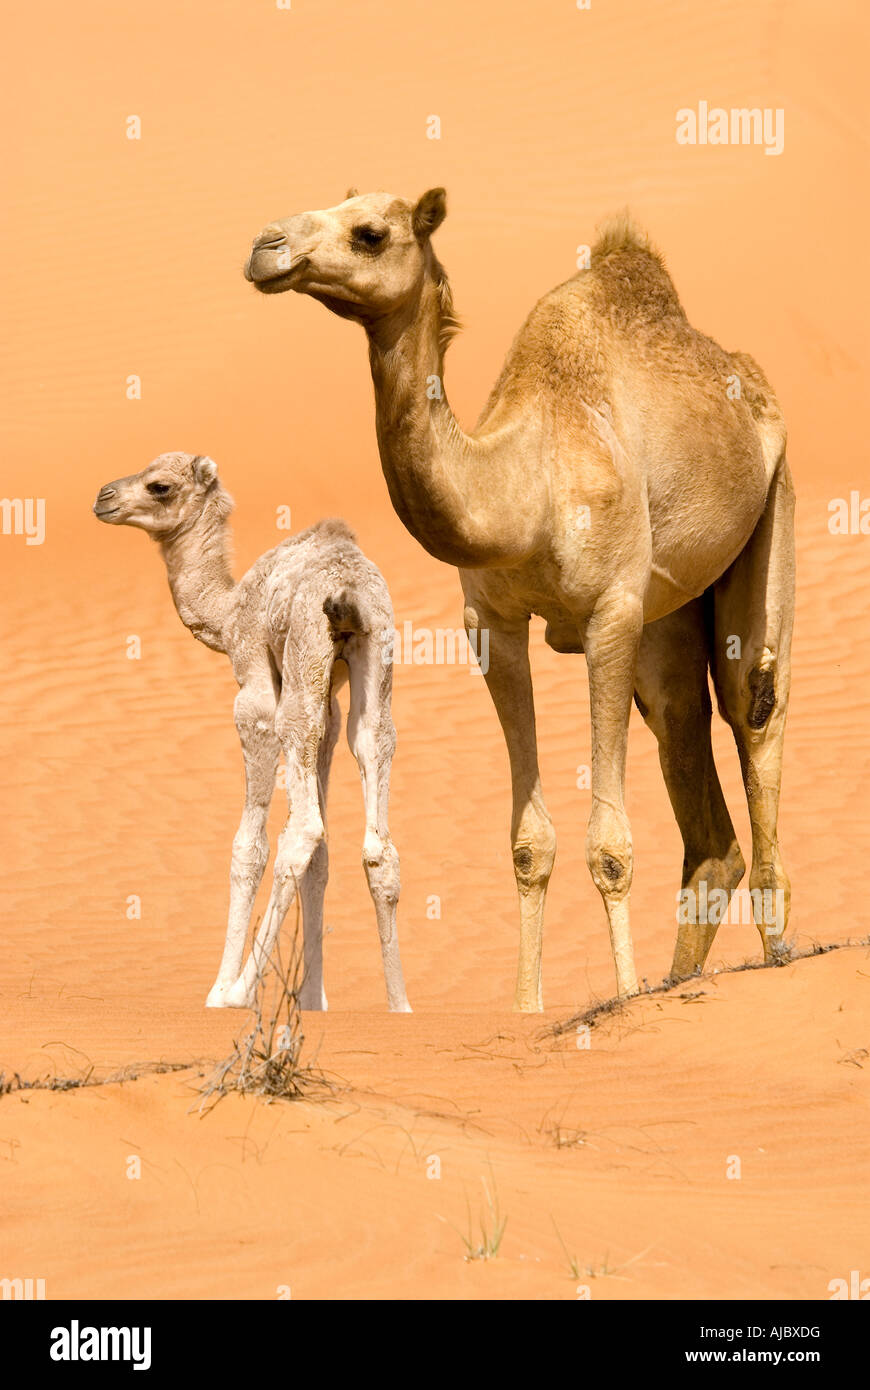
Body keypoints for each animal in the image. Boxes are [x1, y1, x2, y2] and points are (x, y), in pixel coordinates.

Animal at [93, 452, 411, 1013]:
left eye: (159, 486)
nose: (103, 497)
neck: (225, 612)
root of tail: (349, 590)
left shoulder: (255, 686)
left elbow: (250, 845)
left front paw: (220, 989)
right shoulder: (327, 707)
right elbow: (323, 856)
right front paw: (313, 998)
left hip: (304, 650)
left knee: (300, 832)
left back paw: (242, 990)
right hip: (375, 657)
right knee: (375, 817)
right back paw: (401, 1005)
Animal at [244, 189, 794, 1012]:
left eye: (369, 232)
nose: (265, 248)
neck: (522, 485)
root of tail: (746, 378)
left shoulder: (611, 613)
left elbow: (611, 847)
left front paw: (622, 1000)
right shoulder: (492, 624)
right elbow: (530, 844)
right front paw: (527, 1009)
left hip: (771, 505)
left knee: (754, 702)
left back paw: (775, 948)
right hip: (667, 618)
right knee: (686, 743)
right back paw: (679, 978)